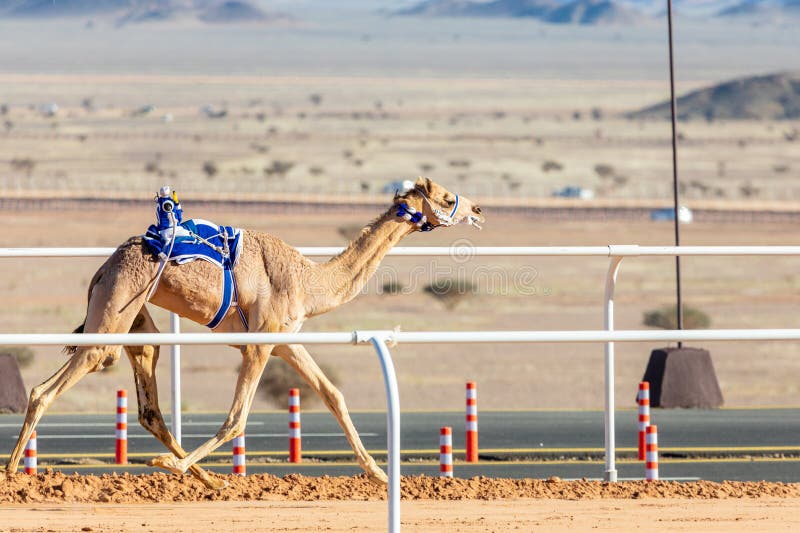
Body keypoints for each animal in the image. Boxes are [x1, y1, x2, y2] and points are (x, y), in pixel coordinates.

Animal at [4, 177, 484, 489]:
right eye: (445, 196)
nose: (477, 209)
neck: (309, 281)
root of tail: (102, 268)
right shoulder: (259, 344)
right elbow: (237, 419)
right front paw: (172, 467)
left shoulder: (286, 340)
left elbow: (333, 394)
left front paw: (381, 473)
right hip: (115, 307)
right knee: (52, 385)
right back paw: (13, 473)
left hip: (134, 317)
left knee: (148, 396)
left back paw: (206, 478)